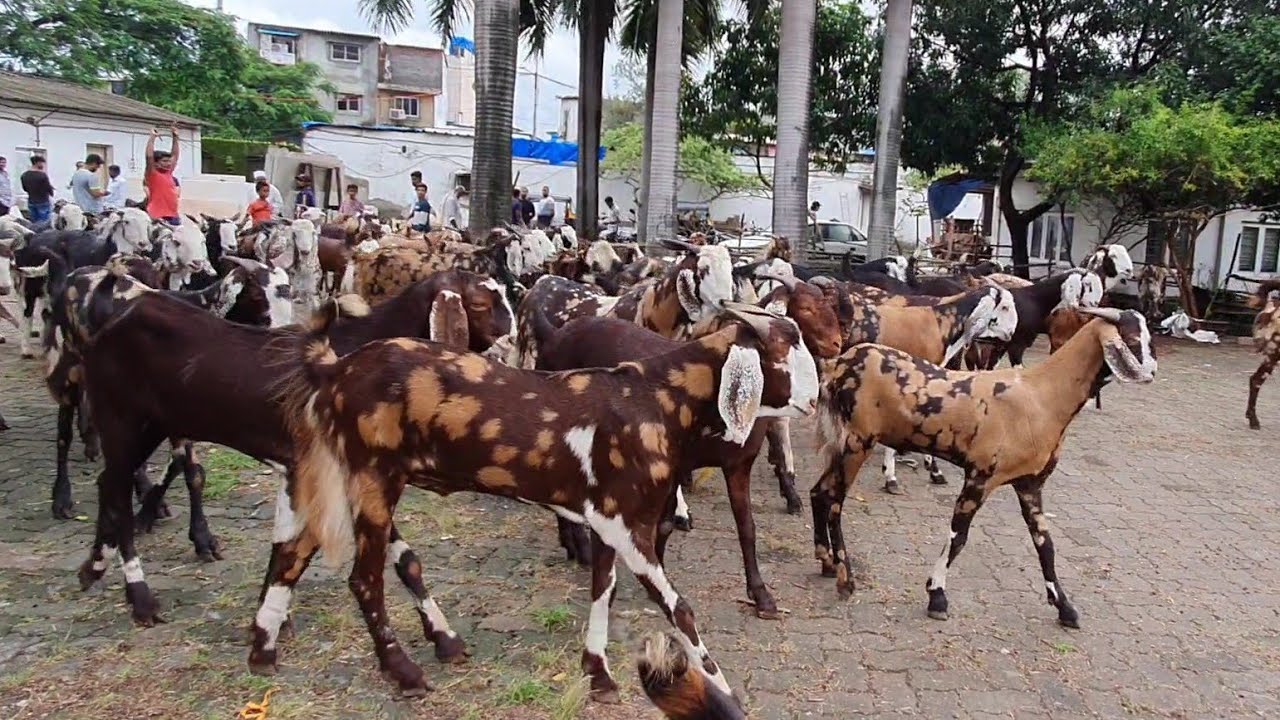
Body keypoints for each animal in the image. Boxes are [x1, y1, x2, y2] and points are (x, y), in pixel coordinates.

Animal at [253, 301, 817, 701]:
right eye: (784, 351)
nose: (813, 401)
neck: (656, 401)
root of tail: (334, 370)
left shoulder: (606, 517)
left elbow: (602, 590)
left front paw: (598, 674)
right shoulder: (629, 524)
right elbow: (679, 609)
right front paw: (724, 691)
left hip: (347, 480)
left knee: (294, 553)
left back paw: (263, 649)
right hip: (372, 480)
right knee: (362, 579)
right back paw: (404, 672)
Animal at [812, 308, 1156, 624]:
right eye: (1133, 339)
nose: (1152, 372)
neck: (1043, 396)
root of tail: (836, 367)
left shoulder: (1029, 484)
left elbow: (1045, 546)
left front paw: (1065, 607)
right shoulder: (980, 476)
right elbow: (958, 537)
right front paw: (937, 596)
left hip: (841, 444)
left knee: (819, 493)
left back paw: (826, 562)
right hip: (857, 442)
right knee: (834, 503)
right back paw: (845, 578)